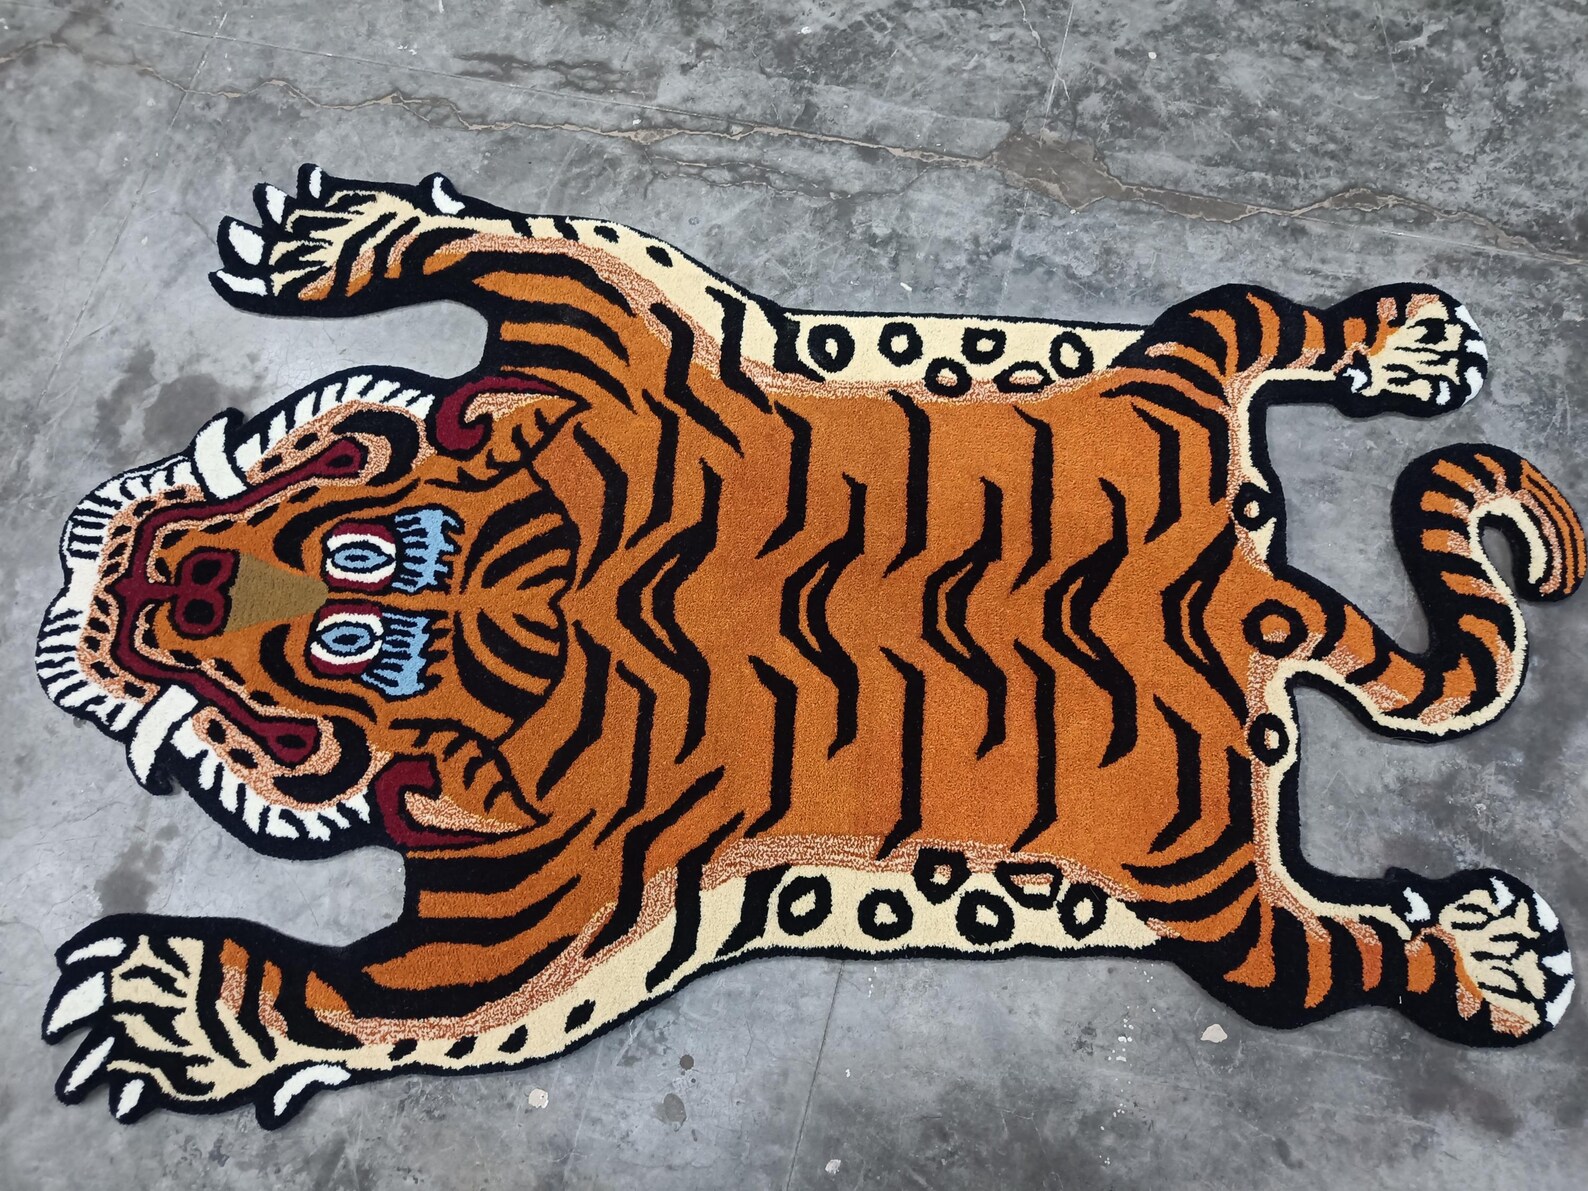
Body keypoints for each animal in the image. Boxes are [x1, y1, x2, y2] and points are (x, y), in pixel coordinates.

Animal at [36, 166, 1581, 1127]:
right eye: (334, 501)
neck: (508, 594)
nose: (151, 582)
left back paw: (1494, 956)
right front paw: (328, 243)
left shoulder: (537, 929)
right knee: (1271, 328)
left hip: (1219, 888)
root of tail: (1257, 596)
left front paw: (174, 1005)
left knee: (1348, 956)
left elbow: (361, 1004)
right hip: (1190, 374)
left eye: (347, 577)